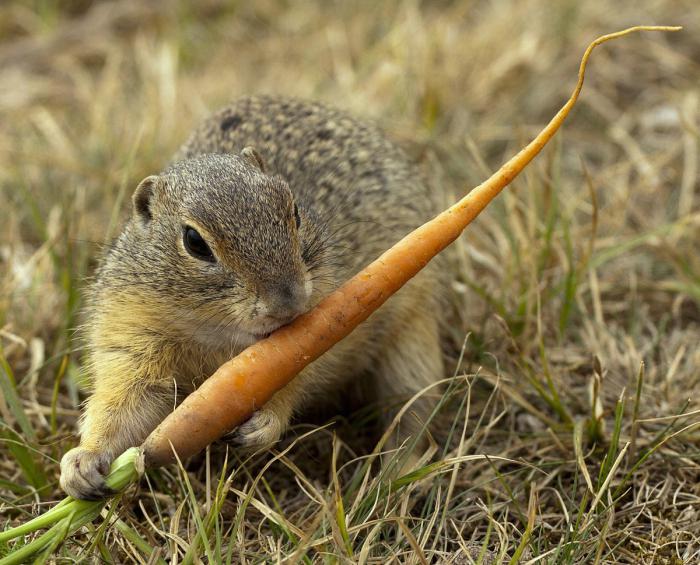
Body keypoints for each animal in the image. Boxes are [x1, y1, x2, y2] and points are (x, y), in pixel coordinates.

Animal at [58, 96, 442, 498]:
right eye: (194, 242)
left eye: (295, 212)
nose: (288, 302)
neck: (216, 336)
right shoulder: (130, 338)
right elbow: (120, 408)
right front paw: (82, 463)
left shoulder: (321, 332)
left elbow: (295, 379)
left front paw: (265, 425)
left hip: (413, 347)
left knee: (411, 415)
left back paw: (402, 473)